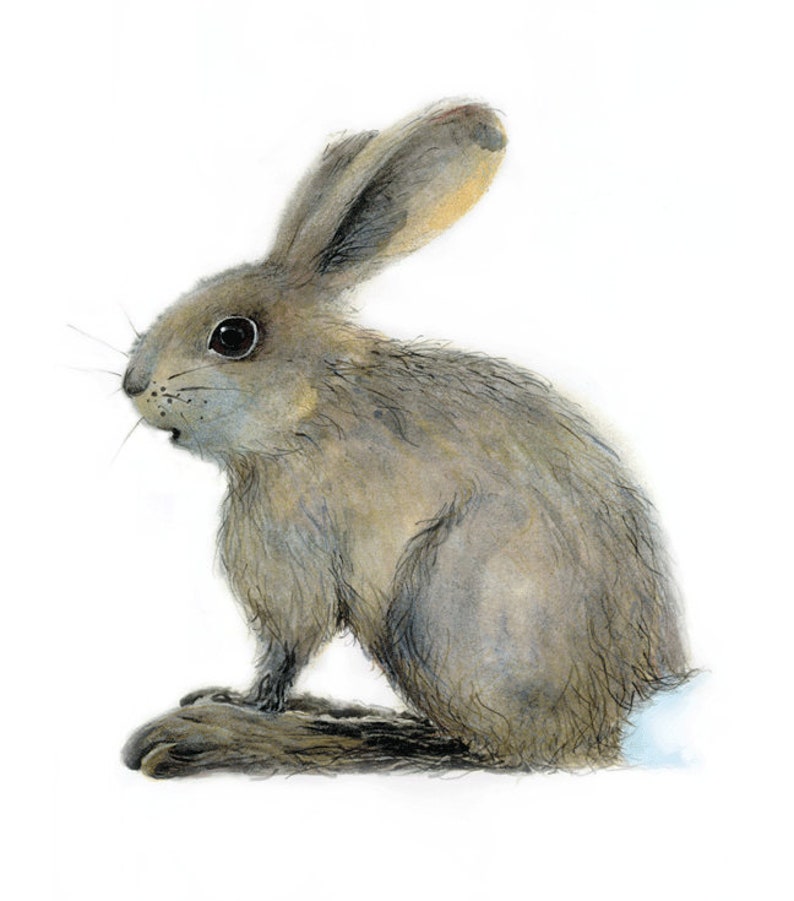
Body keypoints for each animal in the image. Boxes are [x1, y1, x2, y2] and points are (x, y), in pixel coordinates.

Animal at [121, 100, 689, 778]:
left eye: (233, 337)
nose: (132, 384)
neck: (314, 407)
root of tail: (610, 720)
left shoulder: (296, 559)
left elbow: (282, 657)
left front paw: (240, 706)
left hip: (443, 607)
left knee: (481, 751)